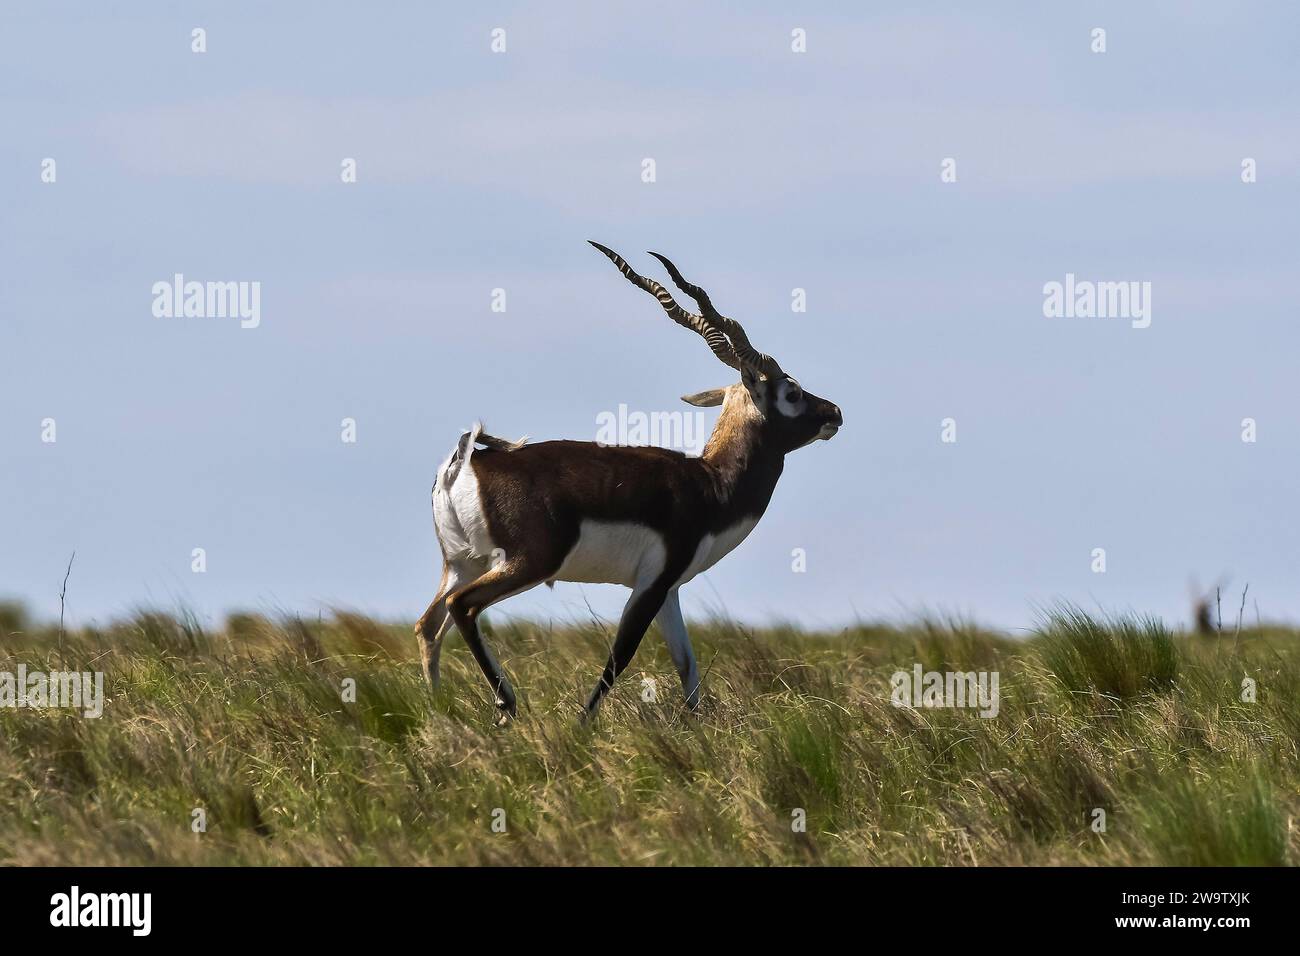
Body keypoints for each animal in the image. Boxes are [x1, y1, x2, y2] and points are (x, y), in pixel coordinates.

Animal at [415, 242, 843, 720]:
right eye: (792, 392)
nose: (835, 412)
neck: (710, 484)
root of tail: (464, 463)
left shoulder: (670, 590)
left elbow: (687, 665)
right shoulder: (650, 584)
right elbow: (620, 657)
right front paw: (583, 724)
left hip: (462, 563)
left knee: (429, 625)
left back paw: (440, 711)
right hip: (526, 563)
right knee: (463, 608)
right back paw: (506, 704)